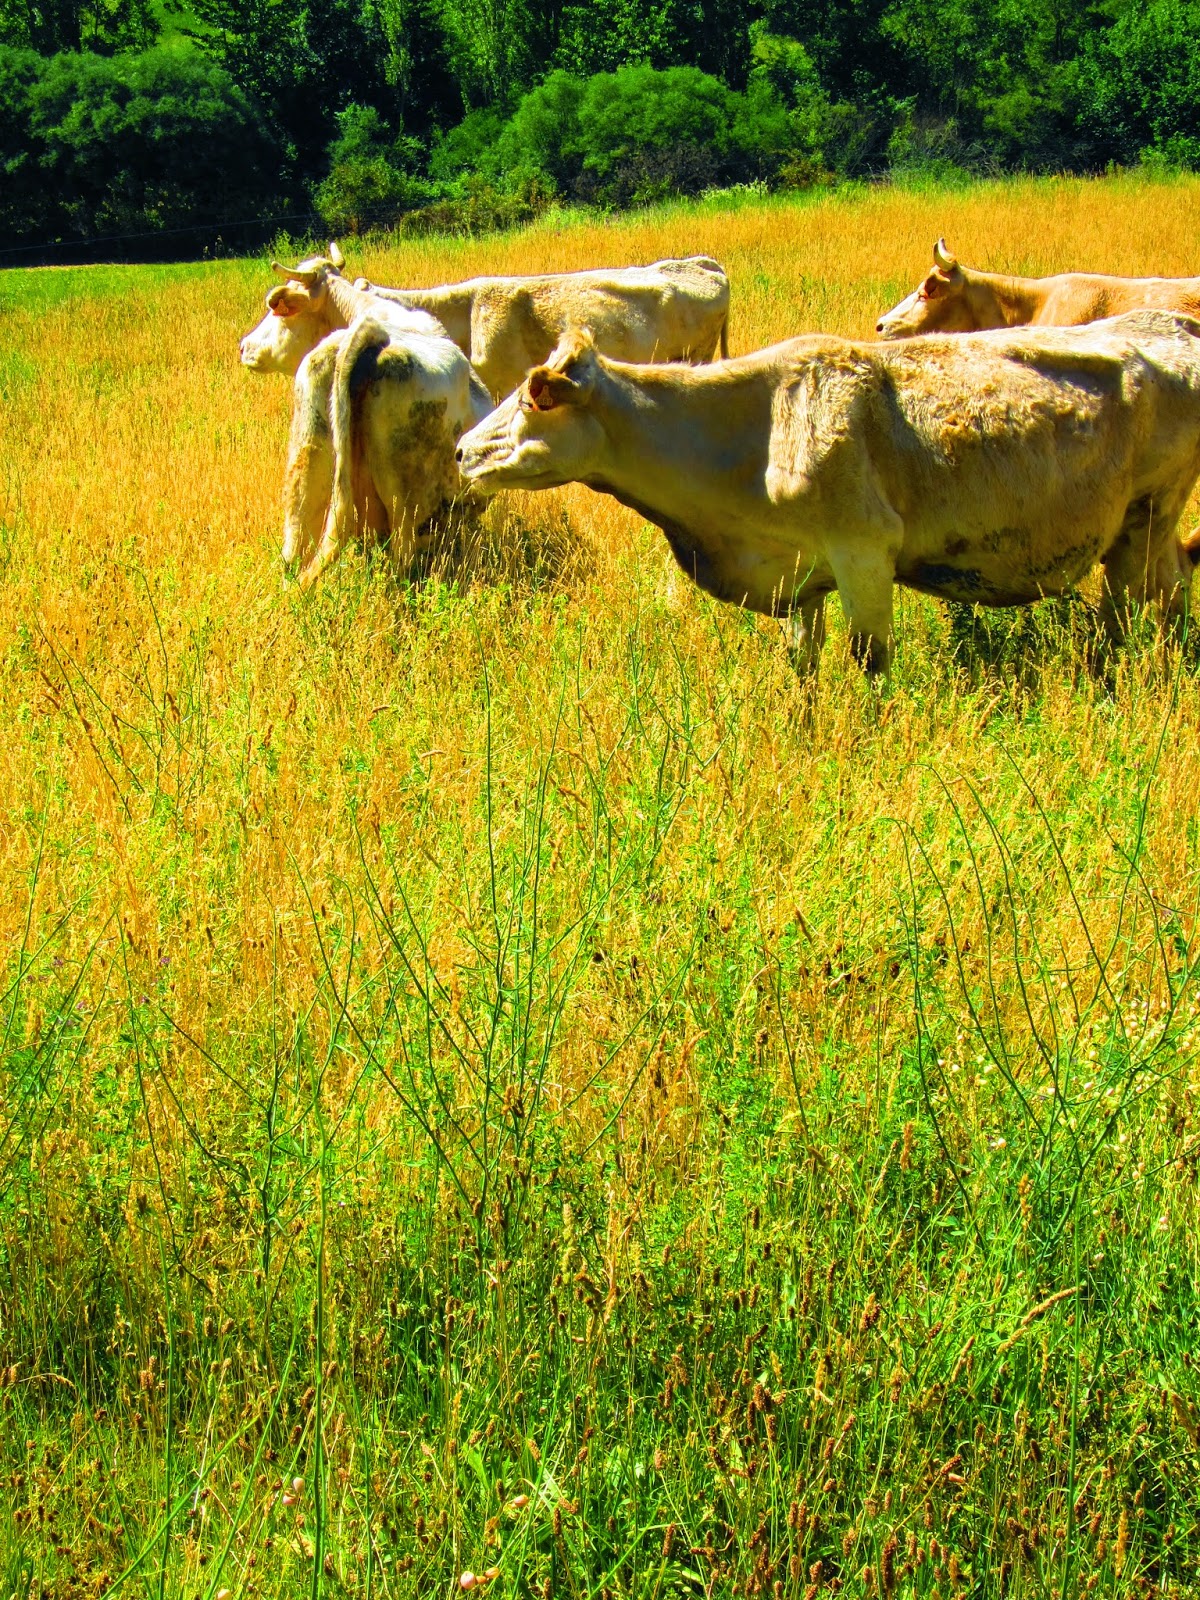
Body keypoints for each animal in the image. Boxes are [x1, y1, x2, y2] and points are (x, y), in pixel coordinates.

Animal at [456, 313, 1200, 678]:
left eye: (536, 396)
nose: (461, 451)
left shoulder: (864, 551)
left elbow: (869, 661)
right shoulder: (800, 568)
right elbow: (802, 664)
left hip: (1149, 517)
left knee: (1144, 609)